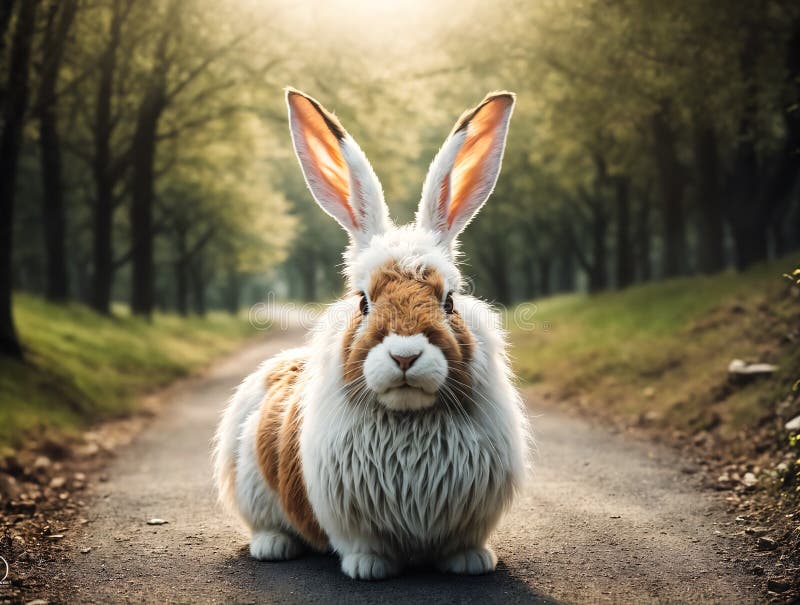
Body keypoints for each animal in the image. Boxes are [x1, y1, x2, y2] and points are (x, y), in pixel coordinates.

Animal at [213, 88, 530, 580]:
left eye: (449, 301)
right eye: (363, 301)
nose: (404, 355)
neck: (407, 419)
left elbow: (463, 543)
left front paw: (472, 563)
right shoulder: (348, 516)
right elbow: (362, 545)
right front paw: (369, 569)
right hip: (248, 480)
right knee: (264, 523)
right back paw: (273, 547)